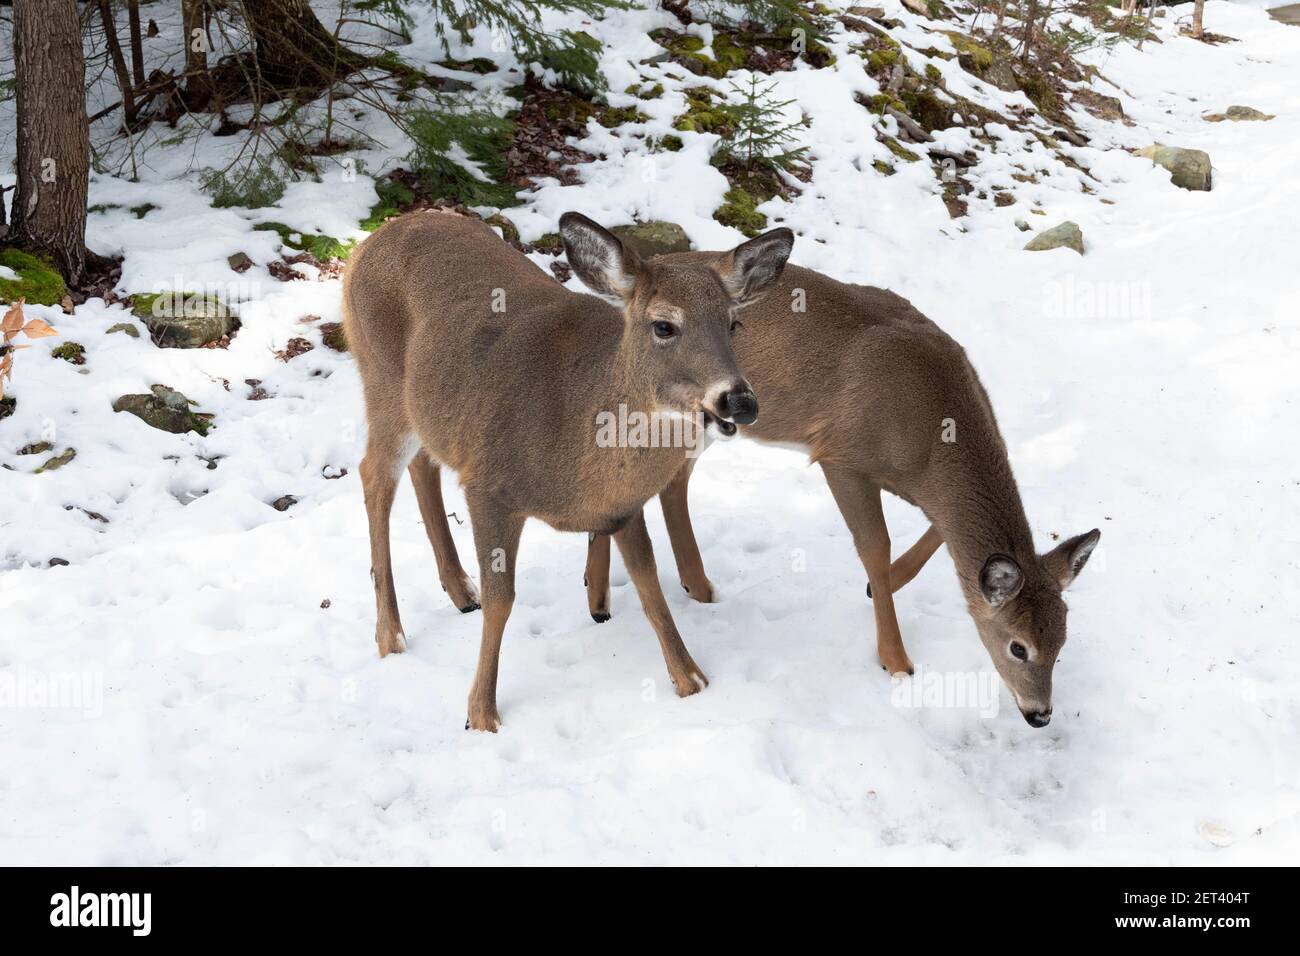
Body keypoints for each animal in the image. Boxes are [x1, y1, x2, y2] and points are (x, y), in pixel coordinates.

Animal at [342, 210, 793, 731]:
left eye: (734, 322)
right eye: (664, 325)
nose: (739, 400)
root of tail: (369, 243)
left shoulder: (622, 507)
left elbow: (649, 584)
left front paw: (690, 679)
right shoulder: (489, 484)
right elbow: (502, 600)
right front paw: (481, 713)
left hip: (424, 407)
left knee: (421, 464)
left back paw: (458, 590)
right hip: (380, 381)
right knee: (373, 475)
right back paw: (390, 634)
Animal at [583, 256, 1100, 728]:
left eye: (1062, 642)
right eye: (1018, 646)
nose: (1040, 714)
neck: (932, 439)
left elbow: (938, 529)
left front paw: (888, 582)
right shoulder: (843, 456)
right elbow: (874, 545)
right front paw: (895, 656)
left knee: (669, 481)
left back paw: (634, 592)